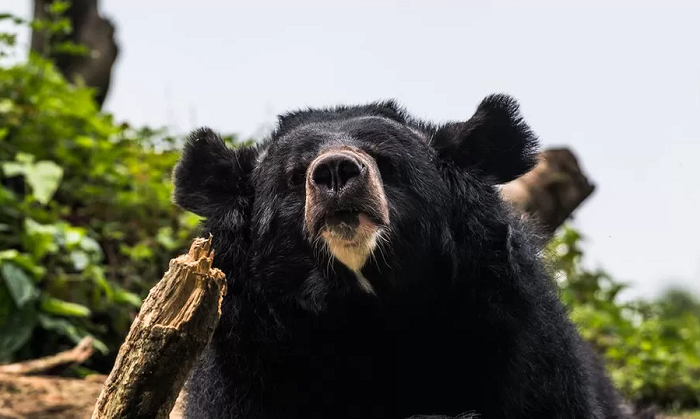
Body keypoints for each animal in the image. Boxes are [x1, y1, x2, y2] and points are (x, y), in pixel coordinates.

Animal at [172, 94, 647, 419]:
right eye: (294, 176)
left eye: (386, 162)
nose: (336, 171)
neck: (367, 309)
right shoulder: (247, 362)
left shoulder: (518, 335)